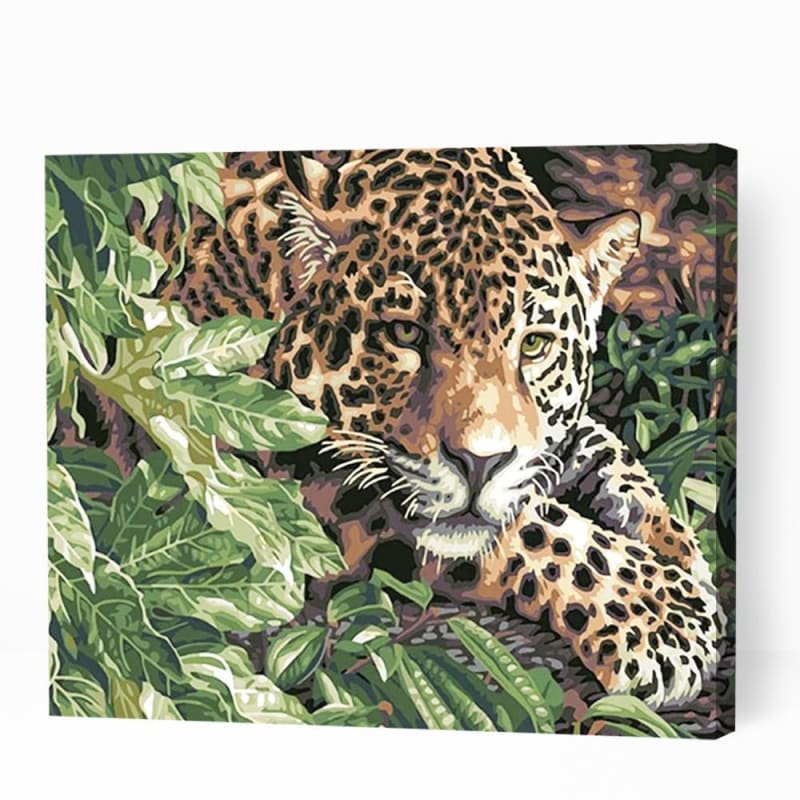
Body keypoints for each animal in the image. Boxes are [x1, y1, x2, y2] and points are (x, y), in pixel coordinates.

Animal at [128, 147, 724, 709]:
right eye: (404, 333)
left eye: (534, 344)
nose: (480, 463)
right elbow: (532, 526)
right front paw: (664, 613)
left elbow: (598, 451)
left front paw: (676, 549)